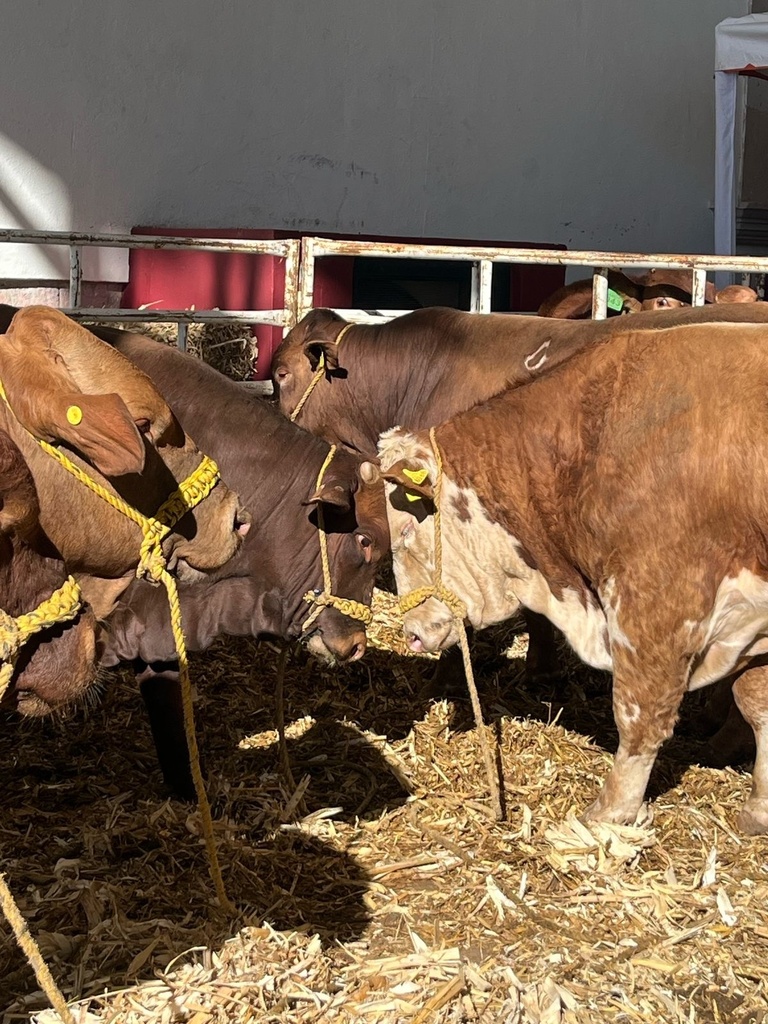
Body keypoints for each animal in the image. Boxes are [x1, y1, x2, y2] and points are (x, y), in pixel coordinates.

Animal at [371, 316, 768, 833]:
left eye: (404, 533)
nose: (411, 632)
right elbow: (759, 704)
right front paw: (760, 807)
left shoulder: (656, 602)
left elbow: (639, 714)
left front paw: (609, 813)